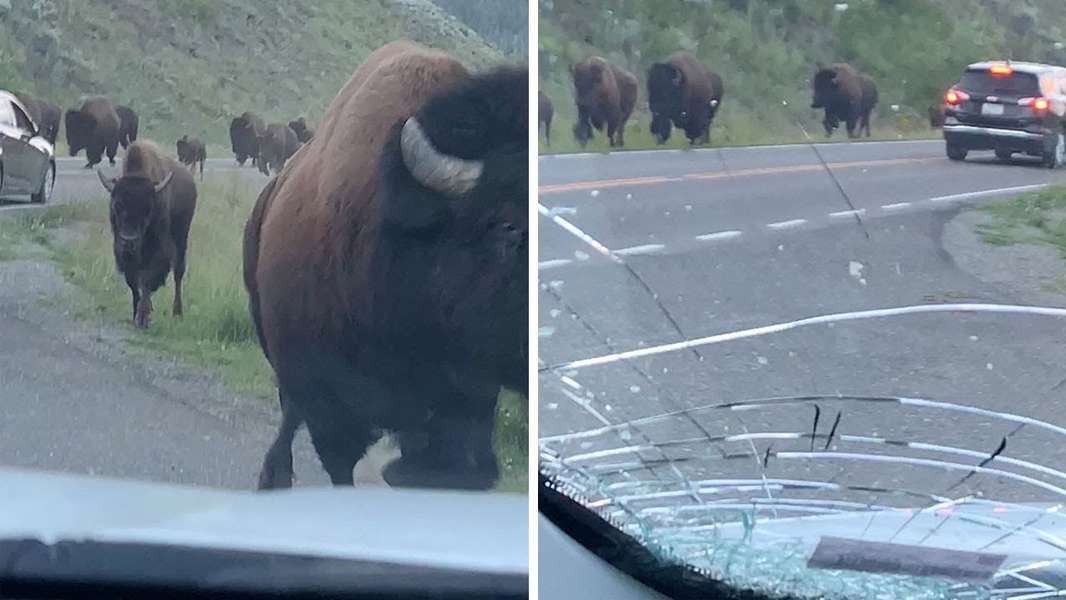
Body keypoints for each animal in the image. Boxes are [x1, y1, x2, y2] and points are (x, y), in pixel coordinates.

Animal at [97, 141, 197, 330]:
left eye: (148, 208)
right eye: (117, 205)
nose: (129, 241)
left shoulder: (159, 251)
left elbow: (147, 280)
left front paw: (143, 318)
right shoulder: (123, 254)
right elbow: (133, 283)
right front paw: (136, 313)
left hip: (182, 239)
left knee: (178, 273)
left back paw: (177, 313)